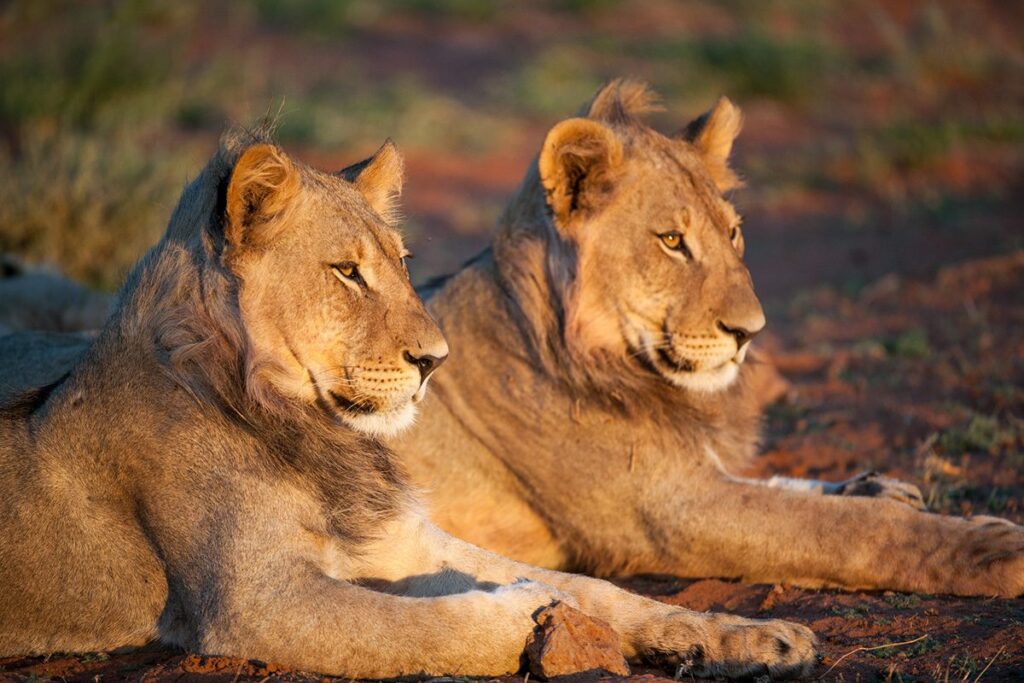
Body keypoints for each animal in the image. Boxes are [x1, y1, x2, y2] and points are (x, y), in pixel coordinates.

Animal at [0, 129, 817, 679]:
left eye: (402, 264)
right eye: (345, 273)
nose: (434, 360)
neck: (310, 429)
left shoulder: (402, 542)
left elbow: (594, 586)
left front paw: (743, 636)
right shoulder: (255, 601)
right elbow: (430, 627)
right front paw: (522, 608)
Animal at [384, 80, 1024, 598]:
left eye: (733, 233)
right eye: (671, 240)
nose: (750, 332)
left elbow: (789, 488)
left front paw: (875, 487)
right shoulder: (669, 508)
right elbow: (842, 527)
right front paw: (992, 548)